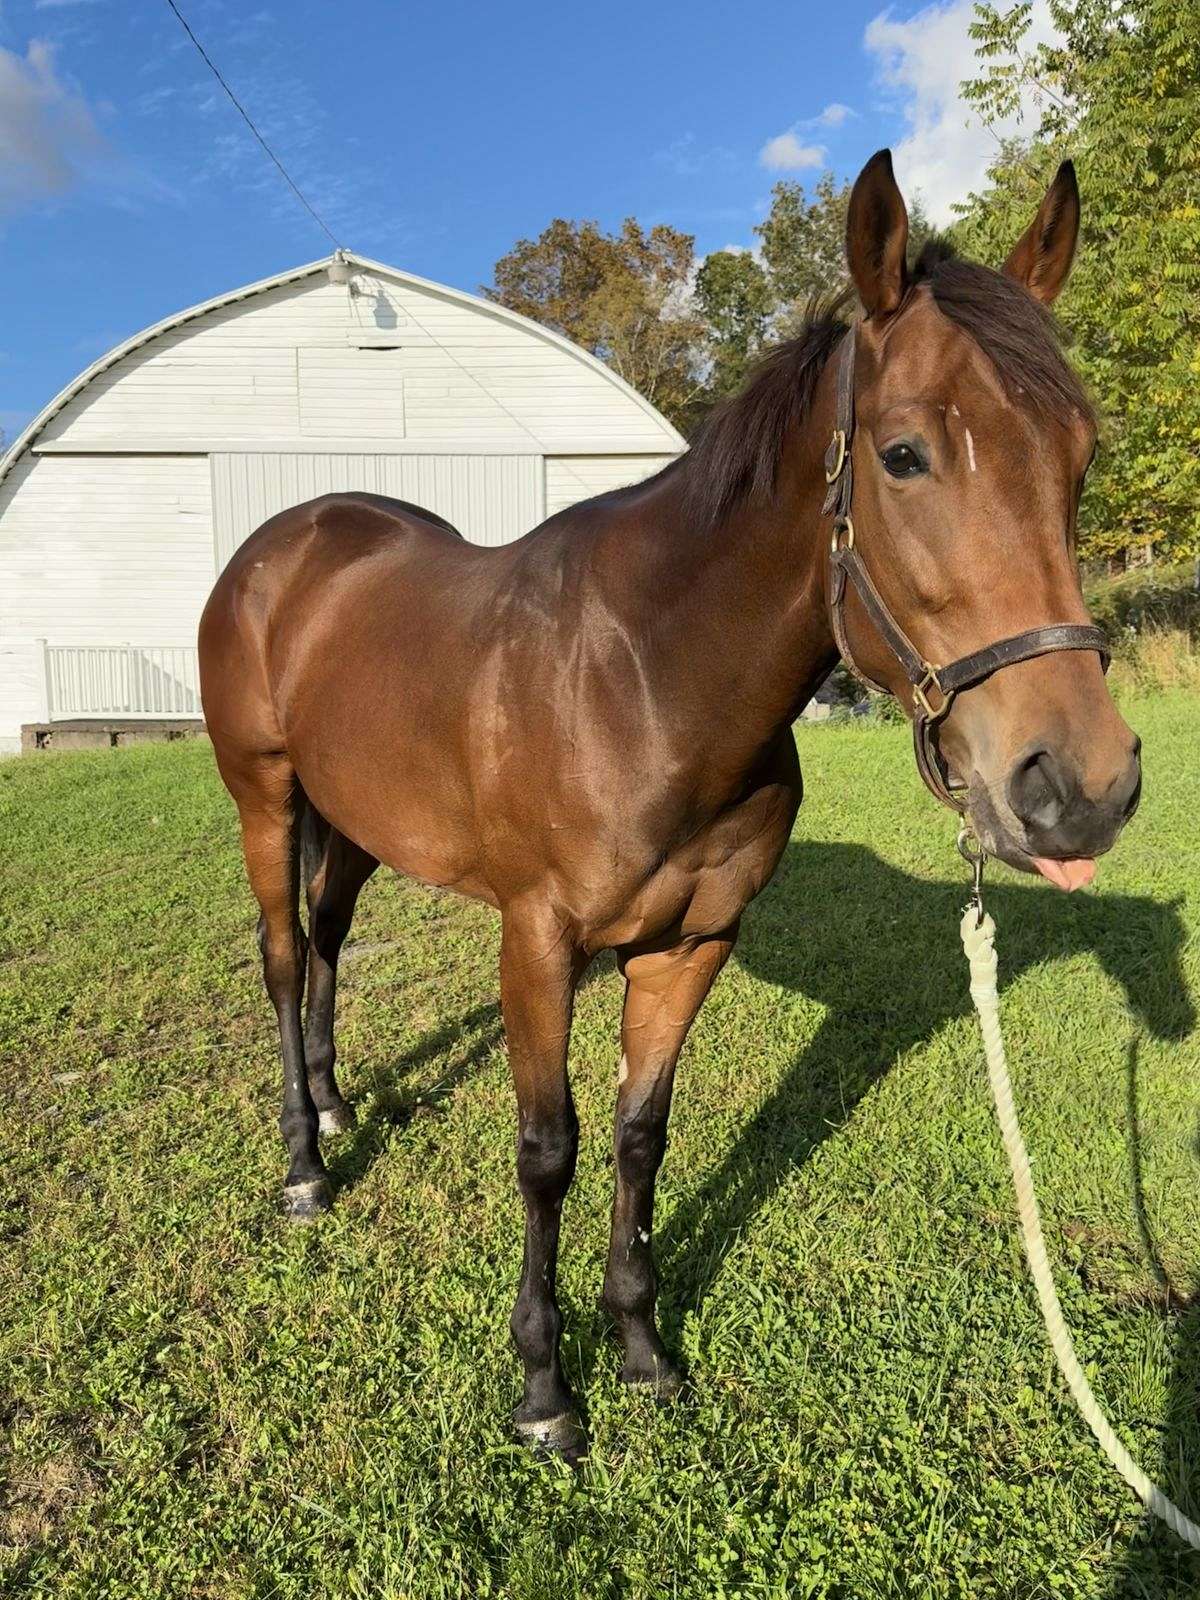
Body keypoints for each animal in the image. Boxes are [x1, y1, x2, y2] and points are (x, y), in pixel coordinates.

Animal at [198, 150, 1141, 1461]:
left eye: (1081, 453)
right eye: (904, 454)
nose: (1082, 787)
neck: (646, 675)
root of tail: (288, 544)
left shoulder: (691, 942)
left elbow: (642, 1135)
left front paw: (641, 1346)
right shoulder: (538, 942)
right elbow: (550, 1150)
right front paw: (546, 1386)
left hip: (359, 820)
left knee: (330, 938)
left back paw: (338, 1113)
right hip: (267, 799)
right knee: (286, 960)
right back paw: (302, 1167)